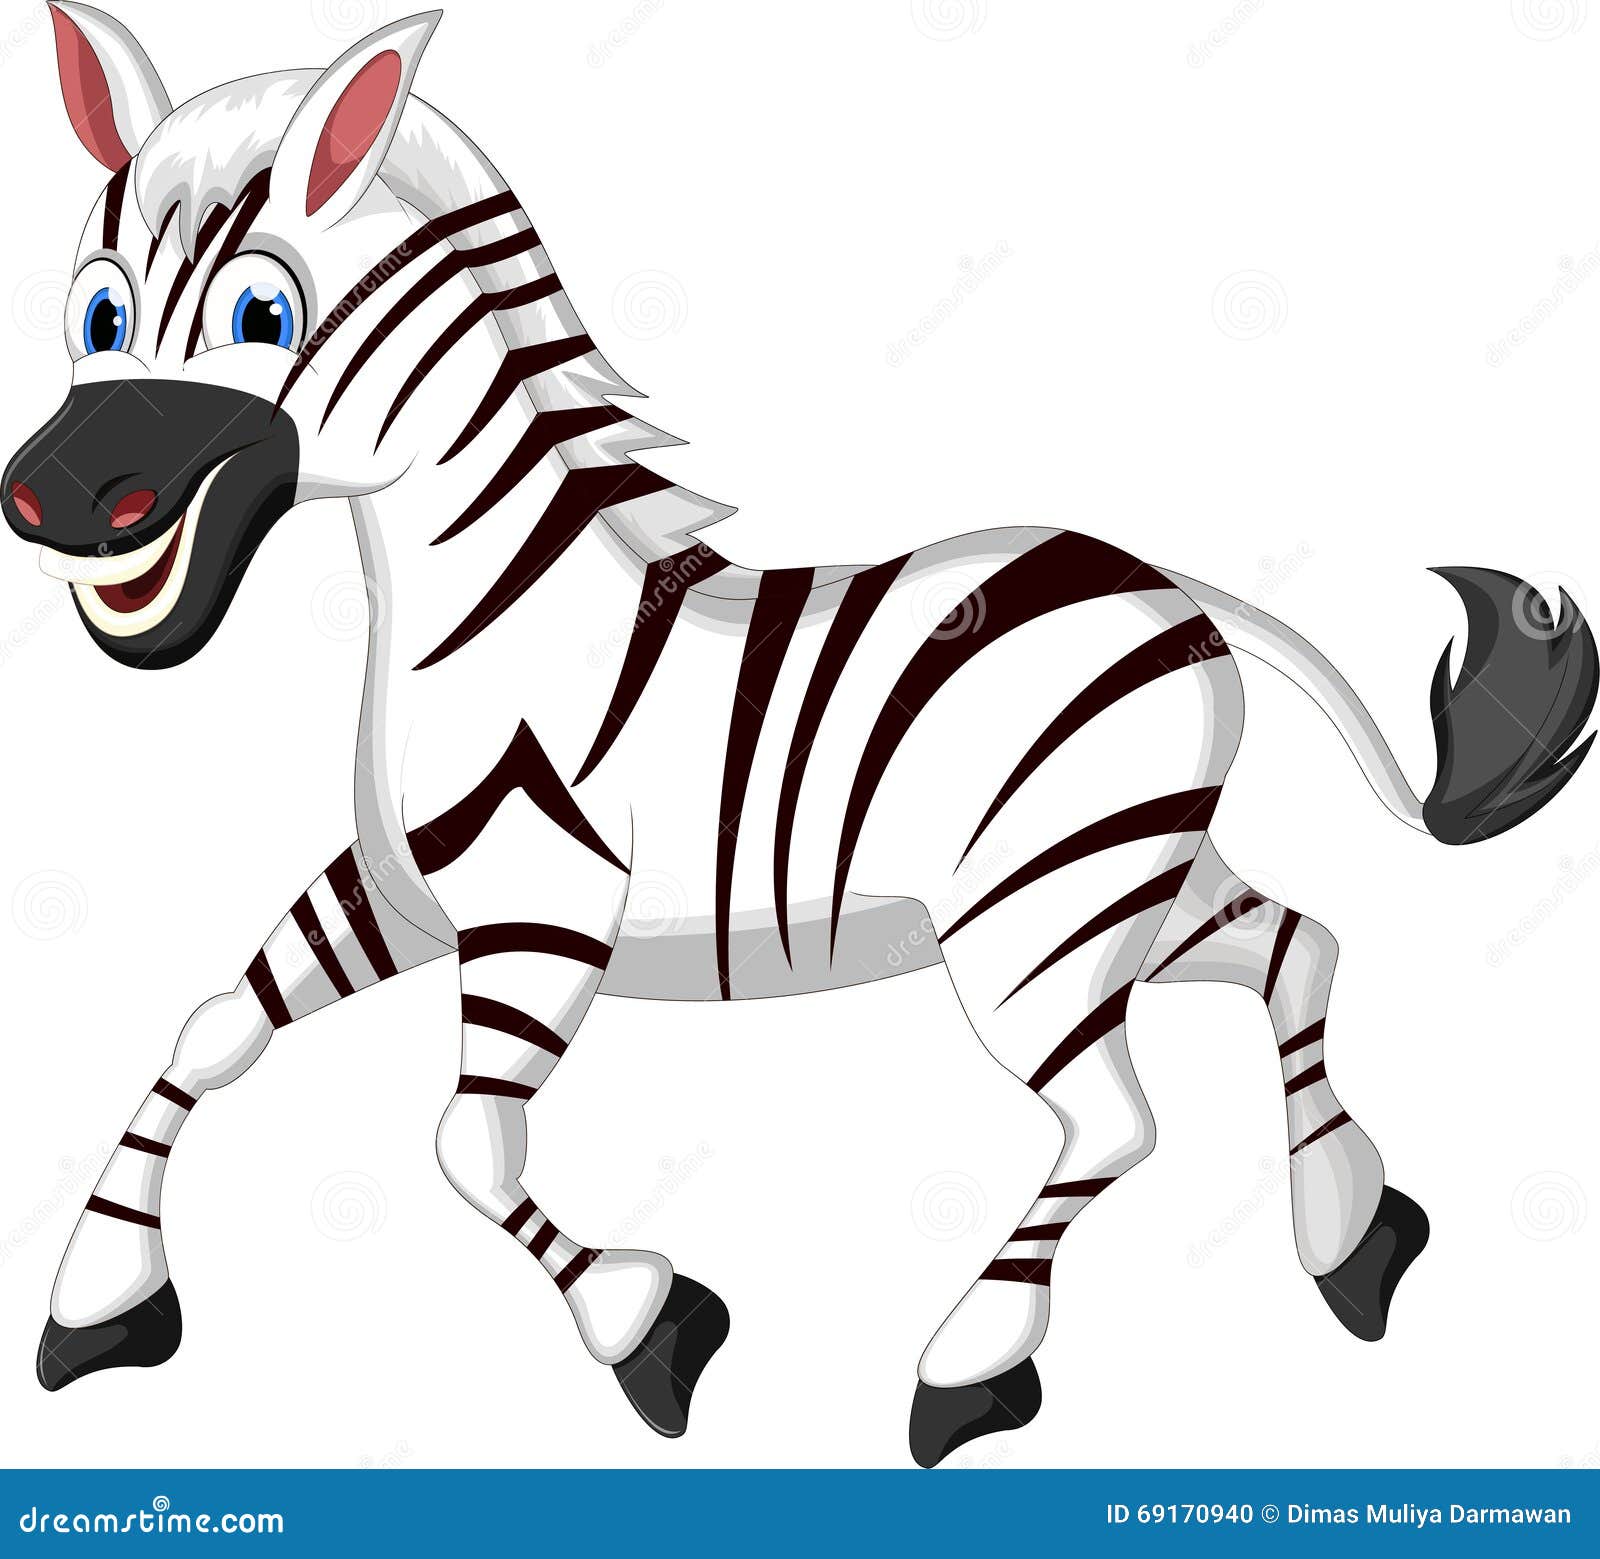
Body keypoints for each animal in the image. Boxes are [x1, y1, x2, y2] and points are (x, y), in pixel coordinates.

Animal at [4, 5, 1595, 1468]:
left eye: (264, 319)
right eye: (96, 317)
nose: (49, 501)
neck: (482, 624)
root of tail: (1176, 590)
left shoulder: (537, 924)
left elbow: (465, 1142)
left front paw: (651, 1329)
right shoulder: (402, 900)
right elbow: (210, 1030)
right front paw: (96, 1302)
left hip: (1038, 924)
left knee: (1117, 1117)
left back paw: (971, 1364)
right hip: (1115, 884)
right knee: (1296, 946)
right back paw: (1350, 1235)